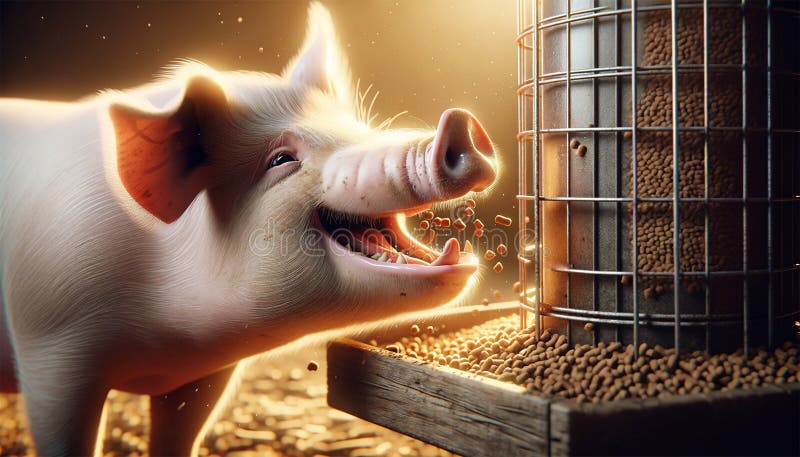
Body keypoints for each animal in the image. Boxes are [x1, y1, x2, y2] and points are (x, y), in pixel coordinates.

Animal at [0, 3, 496, 456]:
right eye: (281, 159)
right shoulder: (51, 345)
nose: (459, 123)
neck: (162, 345)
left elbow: (180, 435)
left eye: (359, 128)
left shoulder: (205, 374)